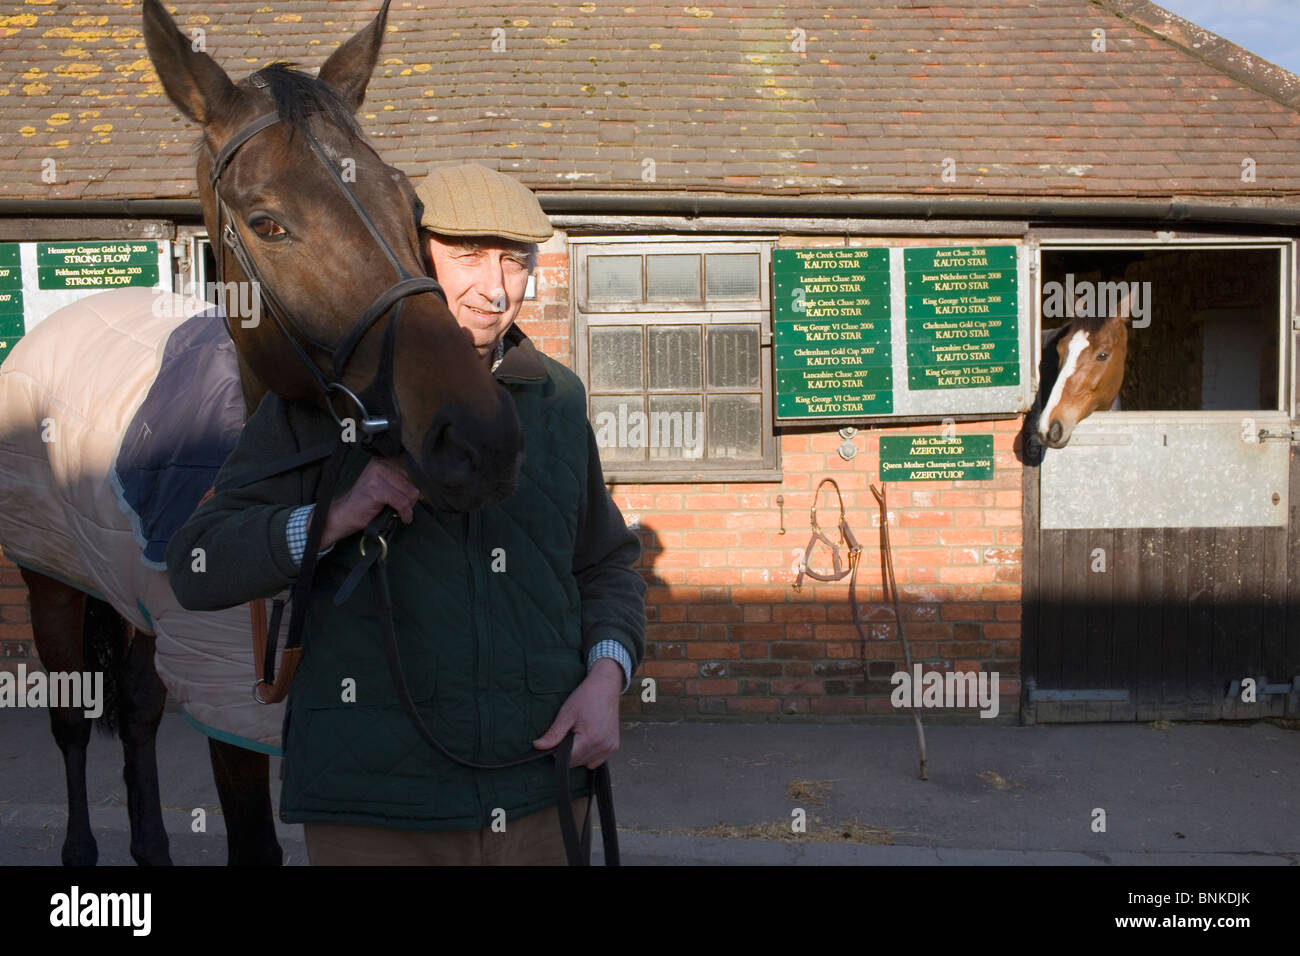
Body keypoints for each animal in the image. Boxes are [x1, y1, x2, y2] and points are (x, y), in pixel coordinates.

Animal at [0, 0, 524, 864]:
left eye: (407, 202)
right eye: (267, 223)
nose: (479, 439)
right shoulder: (231, 718)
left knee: (137, 708)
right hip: (50, 580)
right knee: (72, 722)